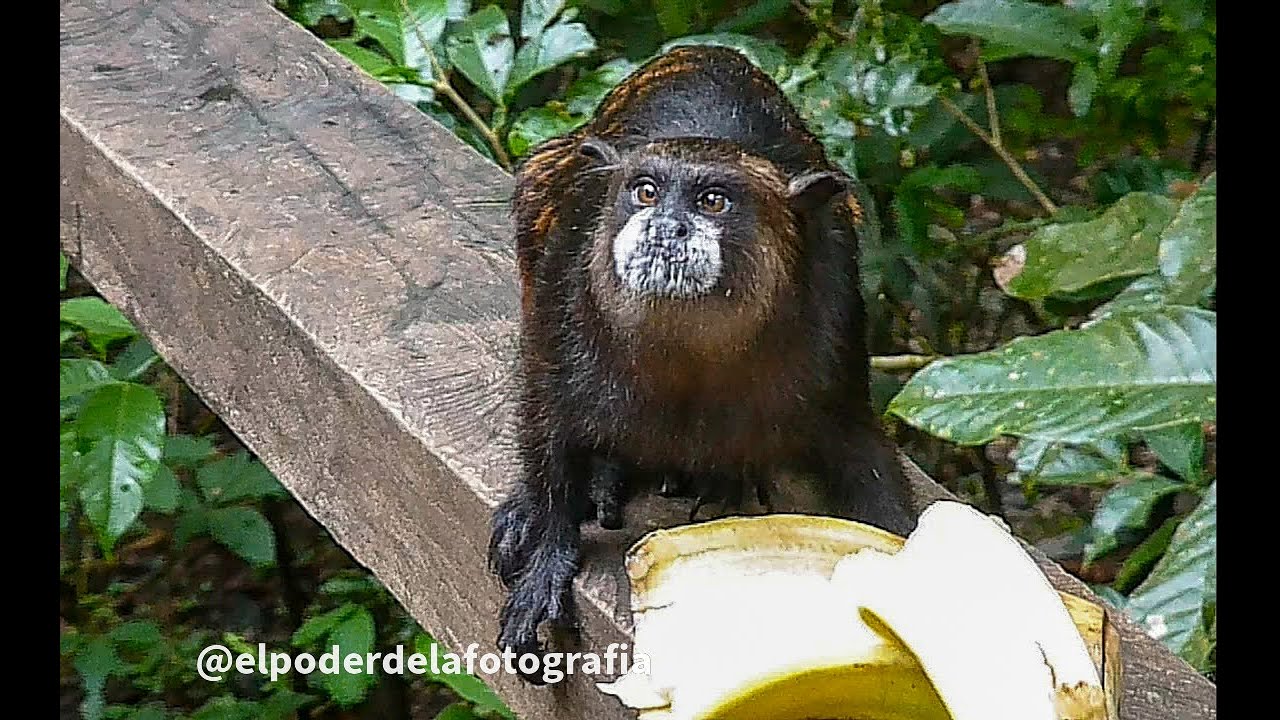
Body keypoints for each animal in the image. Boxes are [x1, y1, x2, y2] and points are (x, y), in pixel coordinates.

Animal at [487, 45, 917, 682]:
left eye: (712, 200)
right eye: (645, 191)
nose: (666, 226)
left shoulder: (834, 328)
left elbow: (863, 455)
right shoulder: (562, 299)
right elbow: (550, 431)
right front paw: (546, 555)